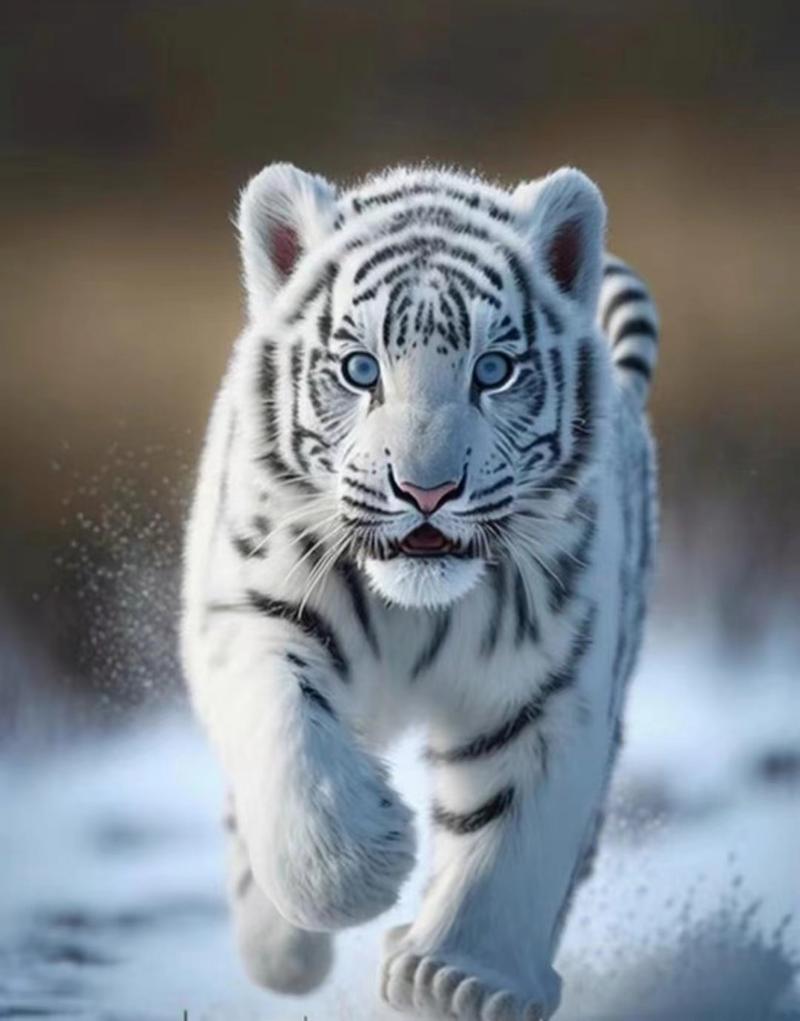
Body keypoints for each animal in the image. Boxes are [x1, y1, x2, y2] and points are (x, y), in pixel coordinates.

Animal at [180, 162, 659, 1020]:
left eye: (493, 370)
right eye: (360, 369)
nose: (427, 491)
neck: (416, 612)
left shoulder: (551, 686)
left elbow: (509, 836)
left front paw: (458, 978)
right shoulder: (257, 614)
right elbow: (289, 739)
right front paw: (360, 867)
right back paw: (281, 943)